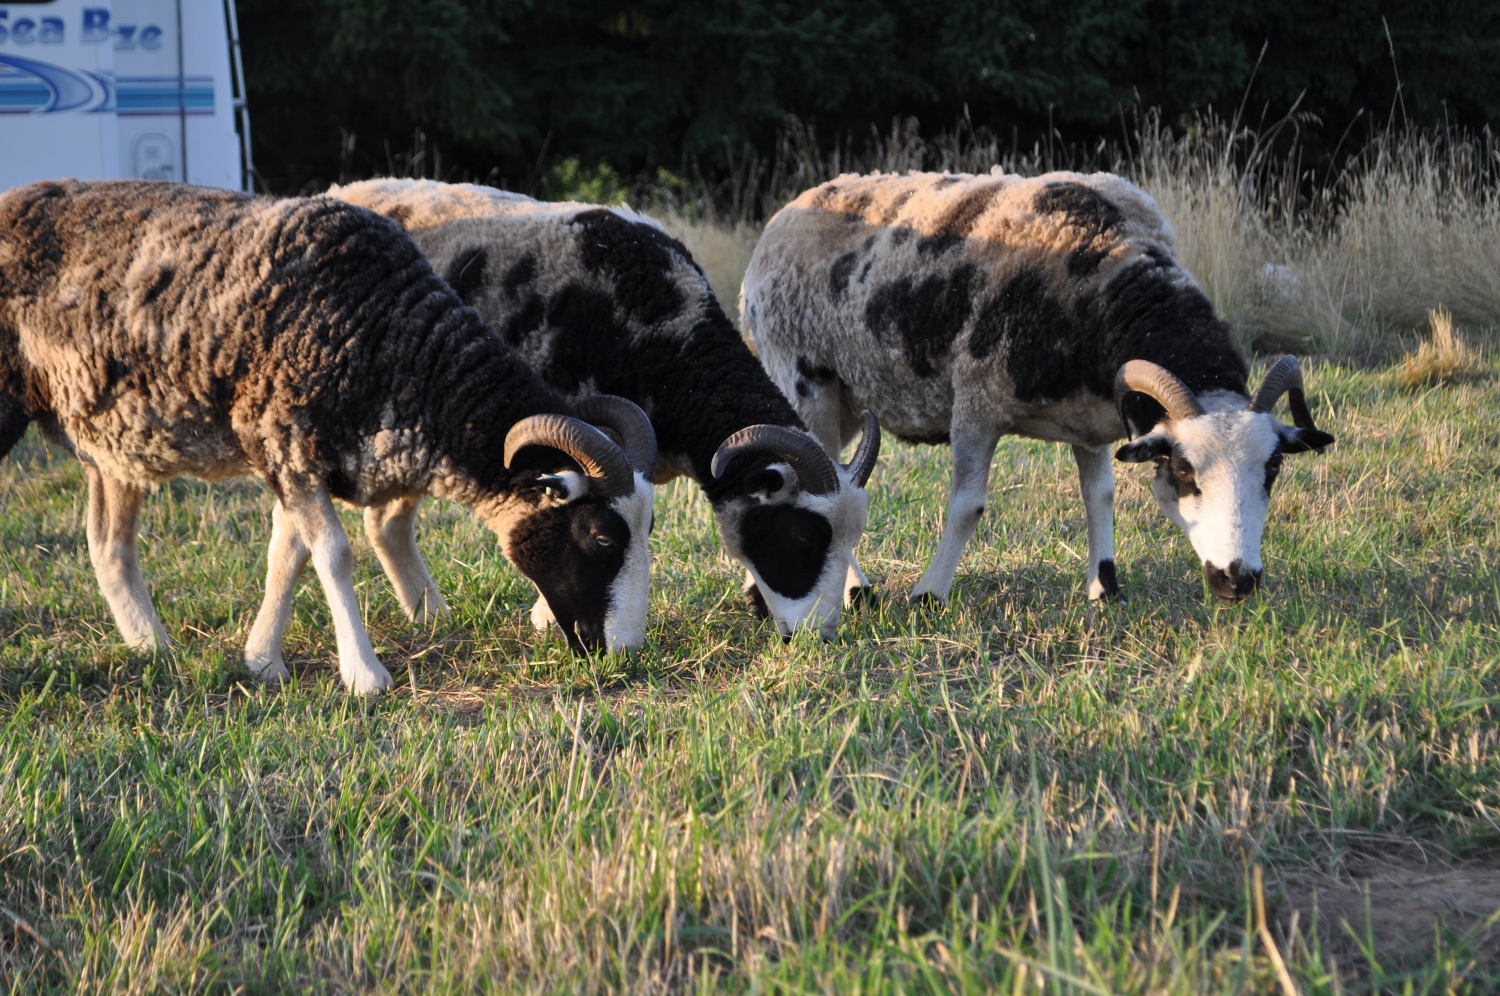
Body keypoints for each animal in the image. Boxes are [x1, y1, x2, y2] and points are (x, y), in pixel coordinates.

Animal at [0, 179, 658, 693]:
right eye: (601, 536)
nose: (623, 654)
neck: (393, 338)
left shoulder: (298, 455)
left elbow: (286, 556)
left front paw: (262, 661)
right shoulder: (285, 441)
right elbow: (333, 555)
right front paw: (365, 676)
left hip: (113, 447)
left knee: (108, 547)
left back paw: (152, 648)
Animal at [741, 169, 1334, 604]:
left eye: (1273, 469)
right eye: (1185, 471)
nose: (1239, 580)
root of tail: (785, 214)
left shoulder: (1094, 420)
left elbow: (1100, 495)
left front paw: (1104, 587)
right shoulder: (976, 403)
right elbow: (968, 506)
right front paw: (929, 595)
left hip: (846, 398)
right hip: (802, 378)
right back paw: (847, 590)